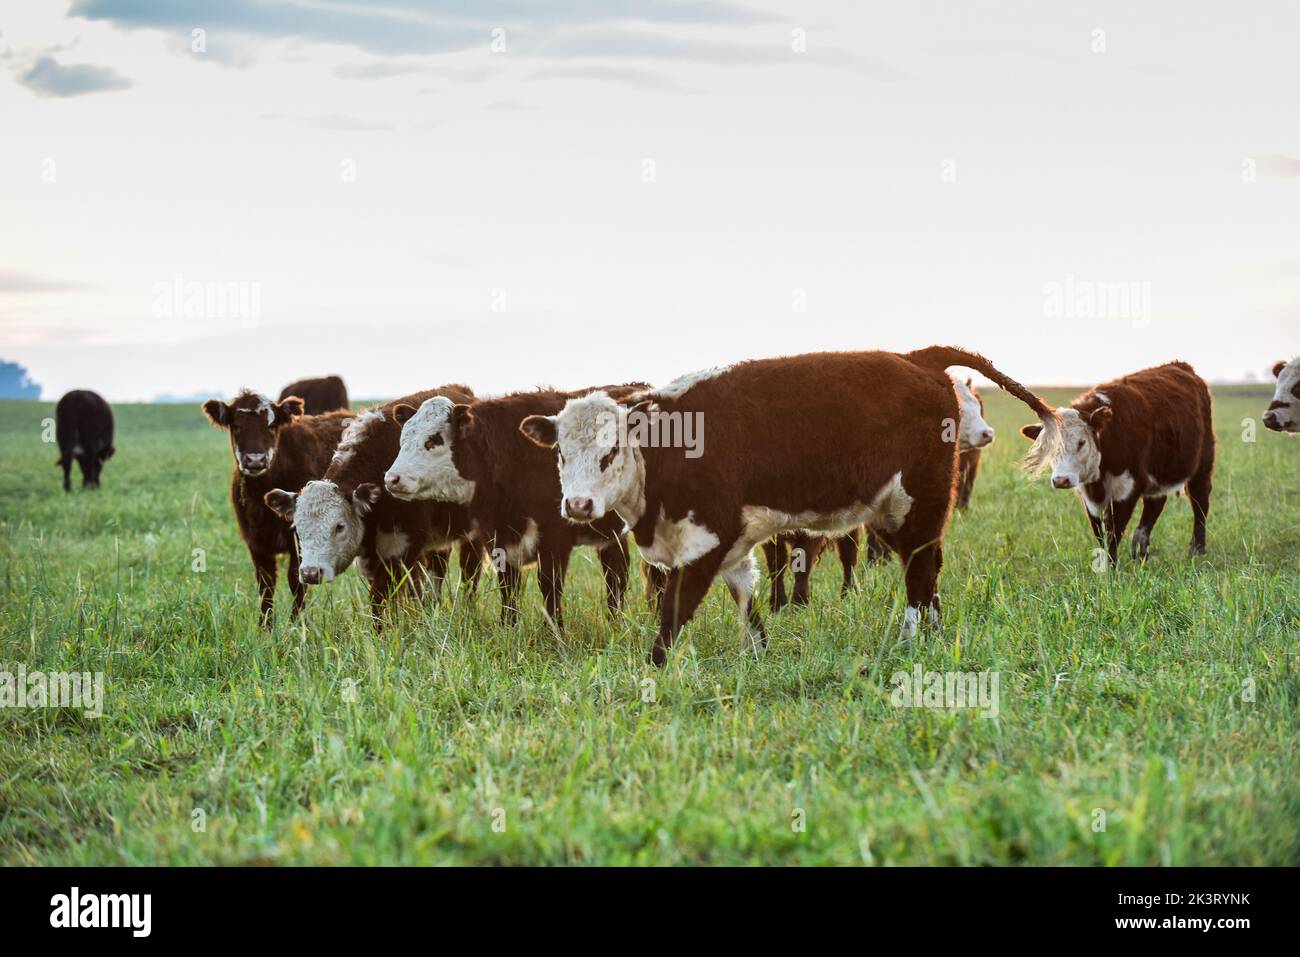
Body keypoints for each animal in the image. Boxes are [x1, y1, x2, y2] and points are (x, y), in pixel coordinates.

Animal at [203, 391, 352, 625]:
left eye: (271, 426)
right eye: (236, 425)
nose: (255, 460)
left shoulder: (299, 541)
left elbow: (296, 579)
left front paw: (296, 623)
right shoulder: (256, 542)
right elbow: (266, 583)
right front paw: (265, 625)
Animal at [264, 386, 483, 624]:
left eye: (339, 526)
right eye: (297, 528)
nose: (311, 573)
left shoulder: (402, 552)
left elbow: (389, 596)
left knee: (470, 574)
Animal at [384, 385, 653, 629]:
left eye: (433, 440)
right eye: (403, 438)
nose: (392, 479)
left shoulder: (554, 538)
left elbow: (549, 586)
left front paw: (555, 633)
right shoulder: (497, 538)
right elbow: (509, 588)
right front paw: (508, 628)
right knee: (616, 573)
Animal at [762, 374, 995, 611]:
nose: (987, 433)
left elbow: (804, 560)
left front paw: (799, 603)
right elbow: (776, 563)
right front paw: (777, 603)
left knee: (849, 555)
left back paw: (850, 591)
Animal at [1019, 361, 1215, 565]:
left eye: (1082, 442)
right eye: (1050, 446)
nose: (1061, 480)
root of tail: (1181, 366)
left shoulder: (1127, 488)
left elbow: (1114, 532)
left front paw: (1111, 567)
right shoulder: (1088, 495)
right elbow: (1100, 532)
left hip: (1203, 463)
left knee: (1200, 501)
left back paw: (1197, 550)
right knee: (1155, 504)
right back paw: (1141, 553)